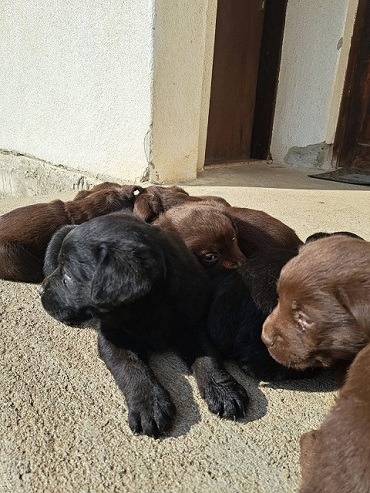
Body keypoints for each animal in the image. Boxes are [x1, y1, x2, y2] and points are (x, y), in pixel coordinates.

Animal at [38, 213, 249, 436]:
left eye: (68, 276)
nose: (40, 291)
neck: (148, 307)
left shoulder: (191, 324)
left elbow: (208, 358)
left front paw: (223, 390)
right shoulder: (114, 339)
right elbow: (133, 369)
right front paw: (150, 405)